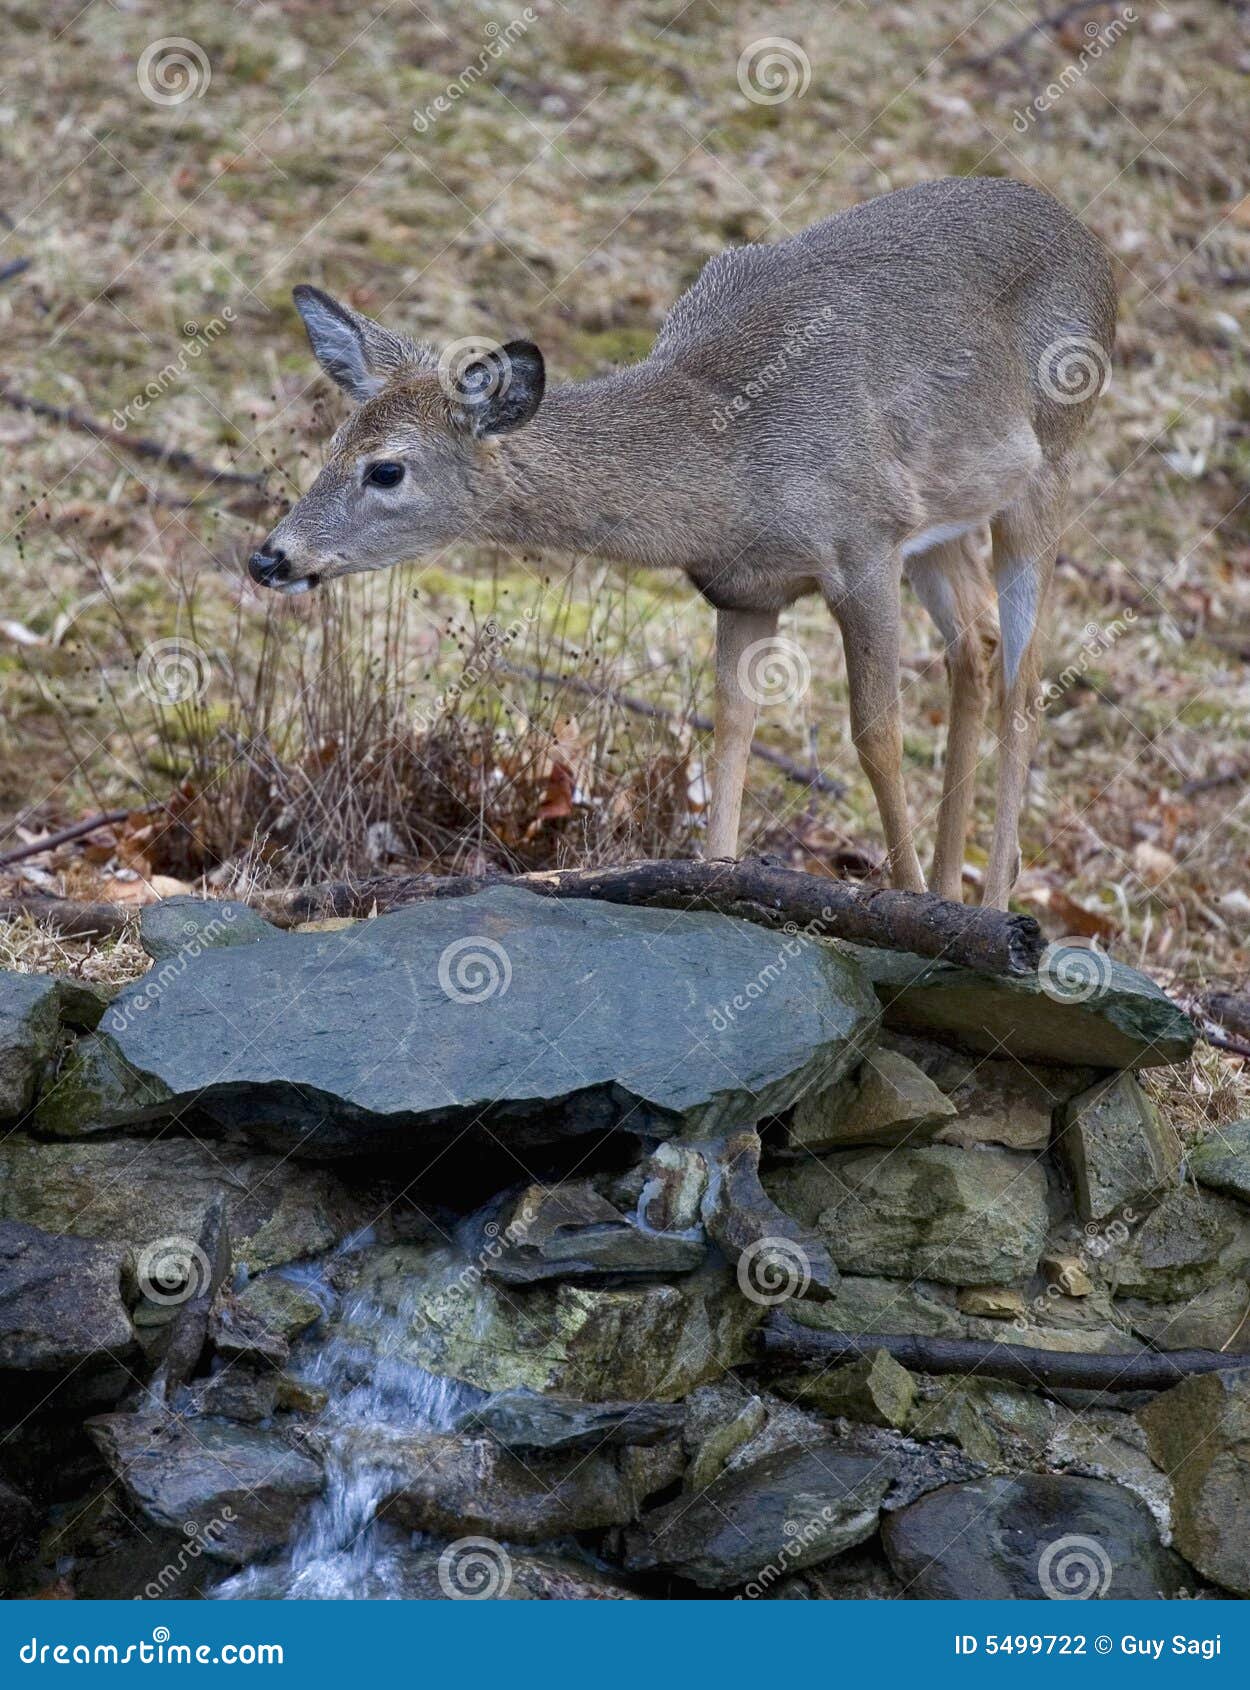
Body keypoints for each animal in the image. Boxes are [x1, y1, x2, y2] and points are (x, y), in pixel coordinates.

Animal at [249, 175, 1115, 908]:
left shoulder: (863, 544)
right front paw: (721, 881)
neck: (731, 467)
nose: (270, 556)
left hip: (1049, 463)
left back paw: (988, 904)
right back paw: (951, 886)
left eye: (387, 469)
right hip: (946, 519)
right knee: (976, 641)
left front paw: (900, 901)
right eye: (334, 443)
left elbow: (877, 734)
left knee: (1025, 679)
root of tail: (1092, 244)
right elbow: (730, 728)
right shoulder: (744, 586)